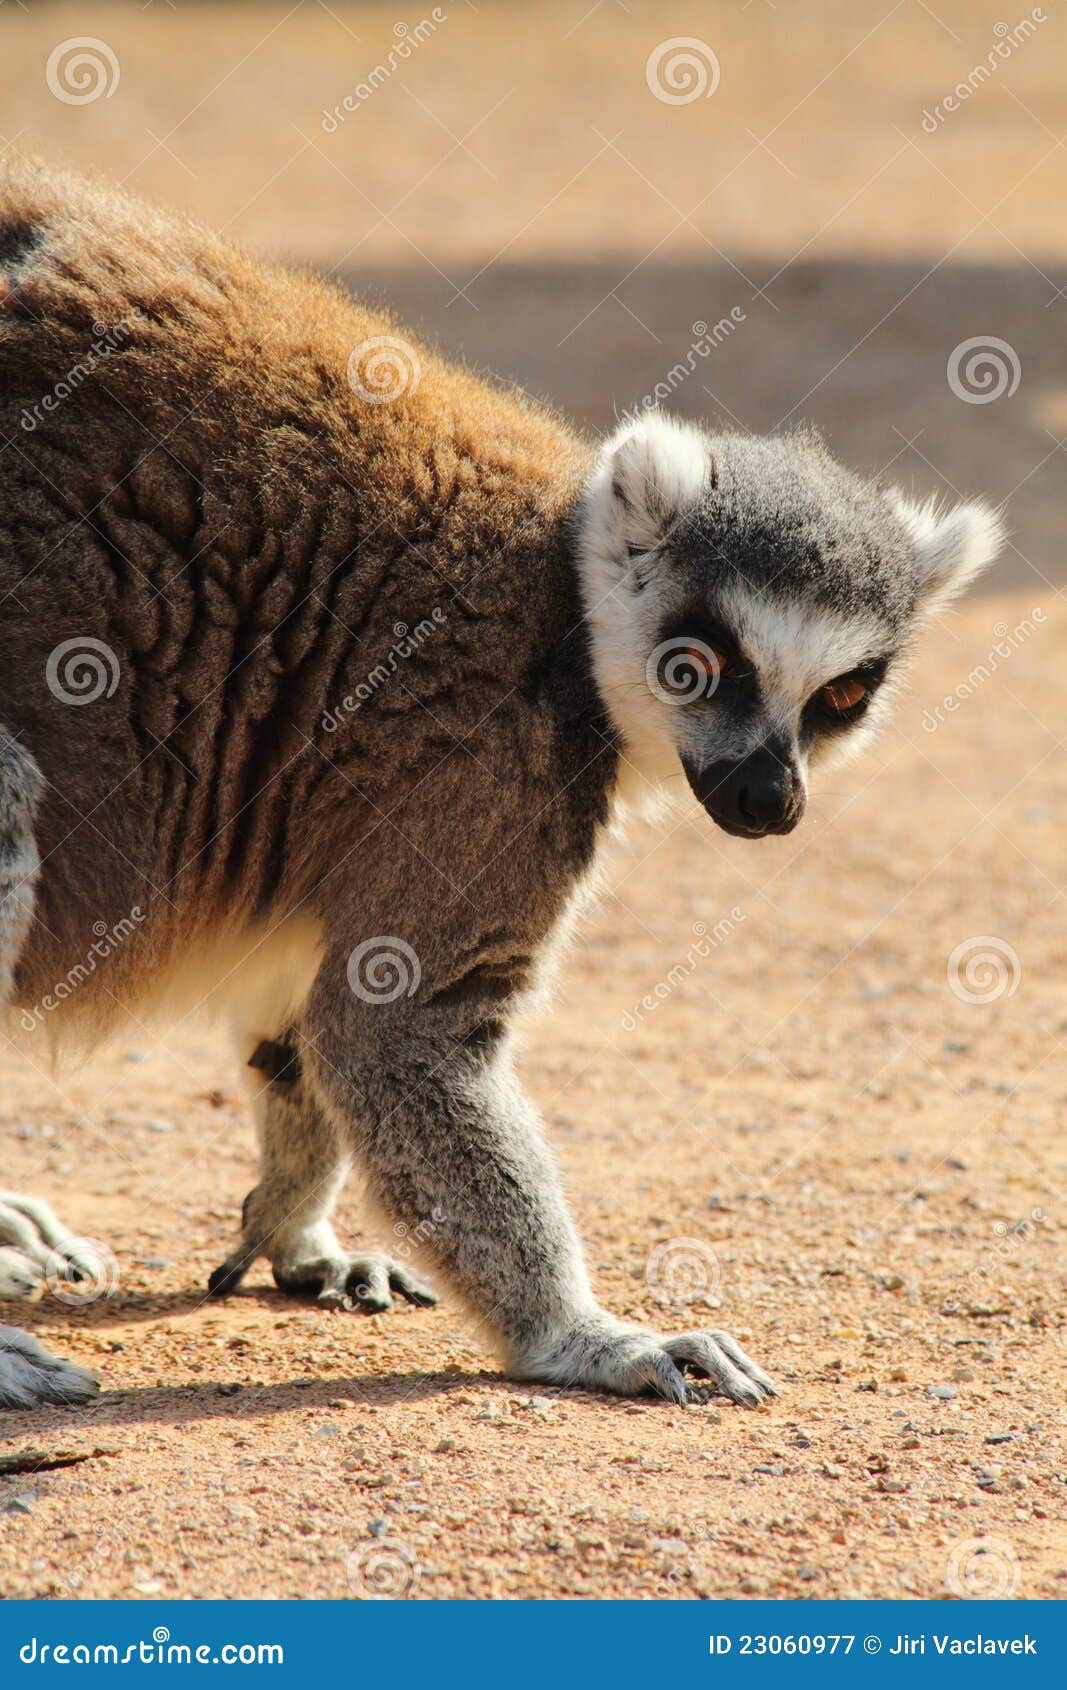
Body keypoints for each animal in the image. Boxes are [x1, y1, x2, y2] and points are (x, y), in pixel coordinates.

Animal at [0, 158, 1002, 1411]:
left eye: (841, 696)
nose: (769, 801)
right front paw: (582, 1335)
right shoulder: (495, 762)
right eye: (697, 666)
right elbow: (397, 1025)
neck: (567, 610)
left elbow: (308, 1016)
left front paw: (294, 1229)